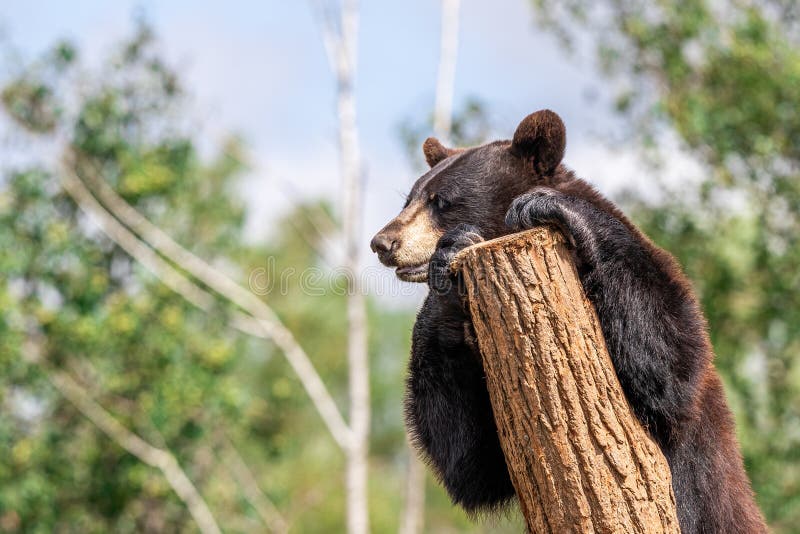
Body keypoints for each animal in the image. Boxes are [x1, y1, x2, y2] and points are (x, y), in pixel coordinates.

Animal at [370, 110, 767, 533]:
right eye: (410, 198)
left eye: (441, 200)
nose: (382, 242)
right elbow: (469, 457)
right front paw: (448, 261)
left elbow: (672, 365)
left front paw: (546, 206)